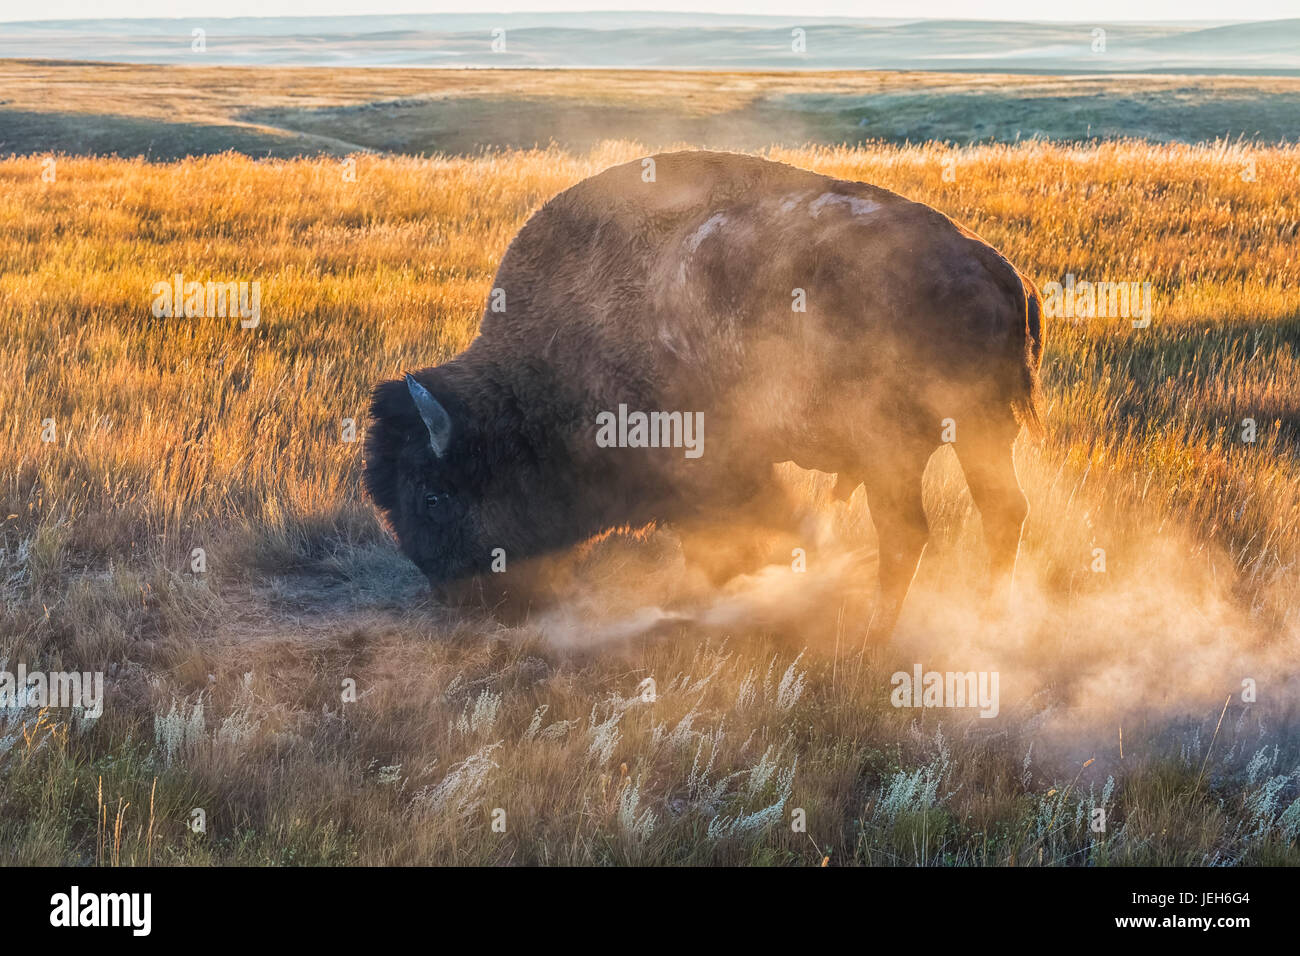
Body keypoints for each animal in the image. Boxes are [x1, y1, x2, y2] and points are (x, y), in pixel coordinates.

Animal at [365, 150, 1044, 639]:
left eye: (432, 495)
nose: (461, 603)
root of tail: (992, 266)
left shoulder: (711, 465)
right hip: (980, 434)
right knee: (1003, 512)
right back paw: (989, 617)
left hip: (895, 453)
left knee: (908, 534)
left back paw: (873, 637)